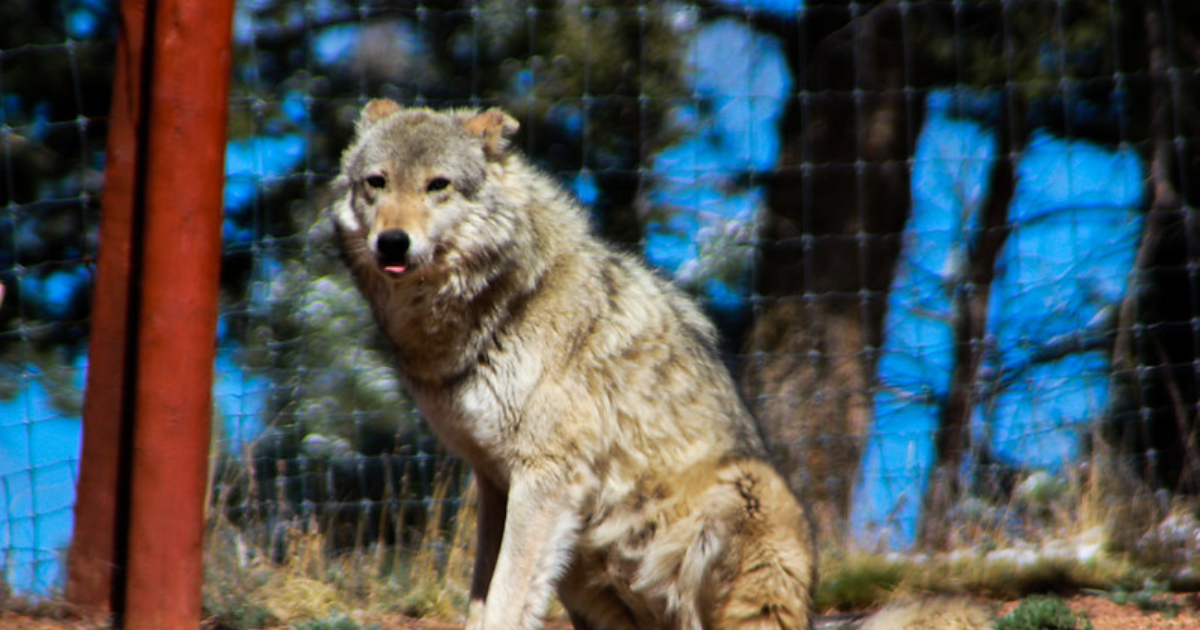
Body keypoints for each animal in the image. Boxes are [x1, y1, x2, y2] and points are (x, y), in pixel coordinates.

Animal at [330, 98, 817, 630]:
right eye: (377, 182)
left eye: (438, 184)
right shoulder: (493, 478)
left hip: (744, 489)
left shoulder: (545, 473)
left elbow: (505, 595)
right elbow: (482, 595)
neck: (506, 303)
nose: (392, 242)